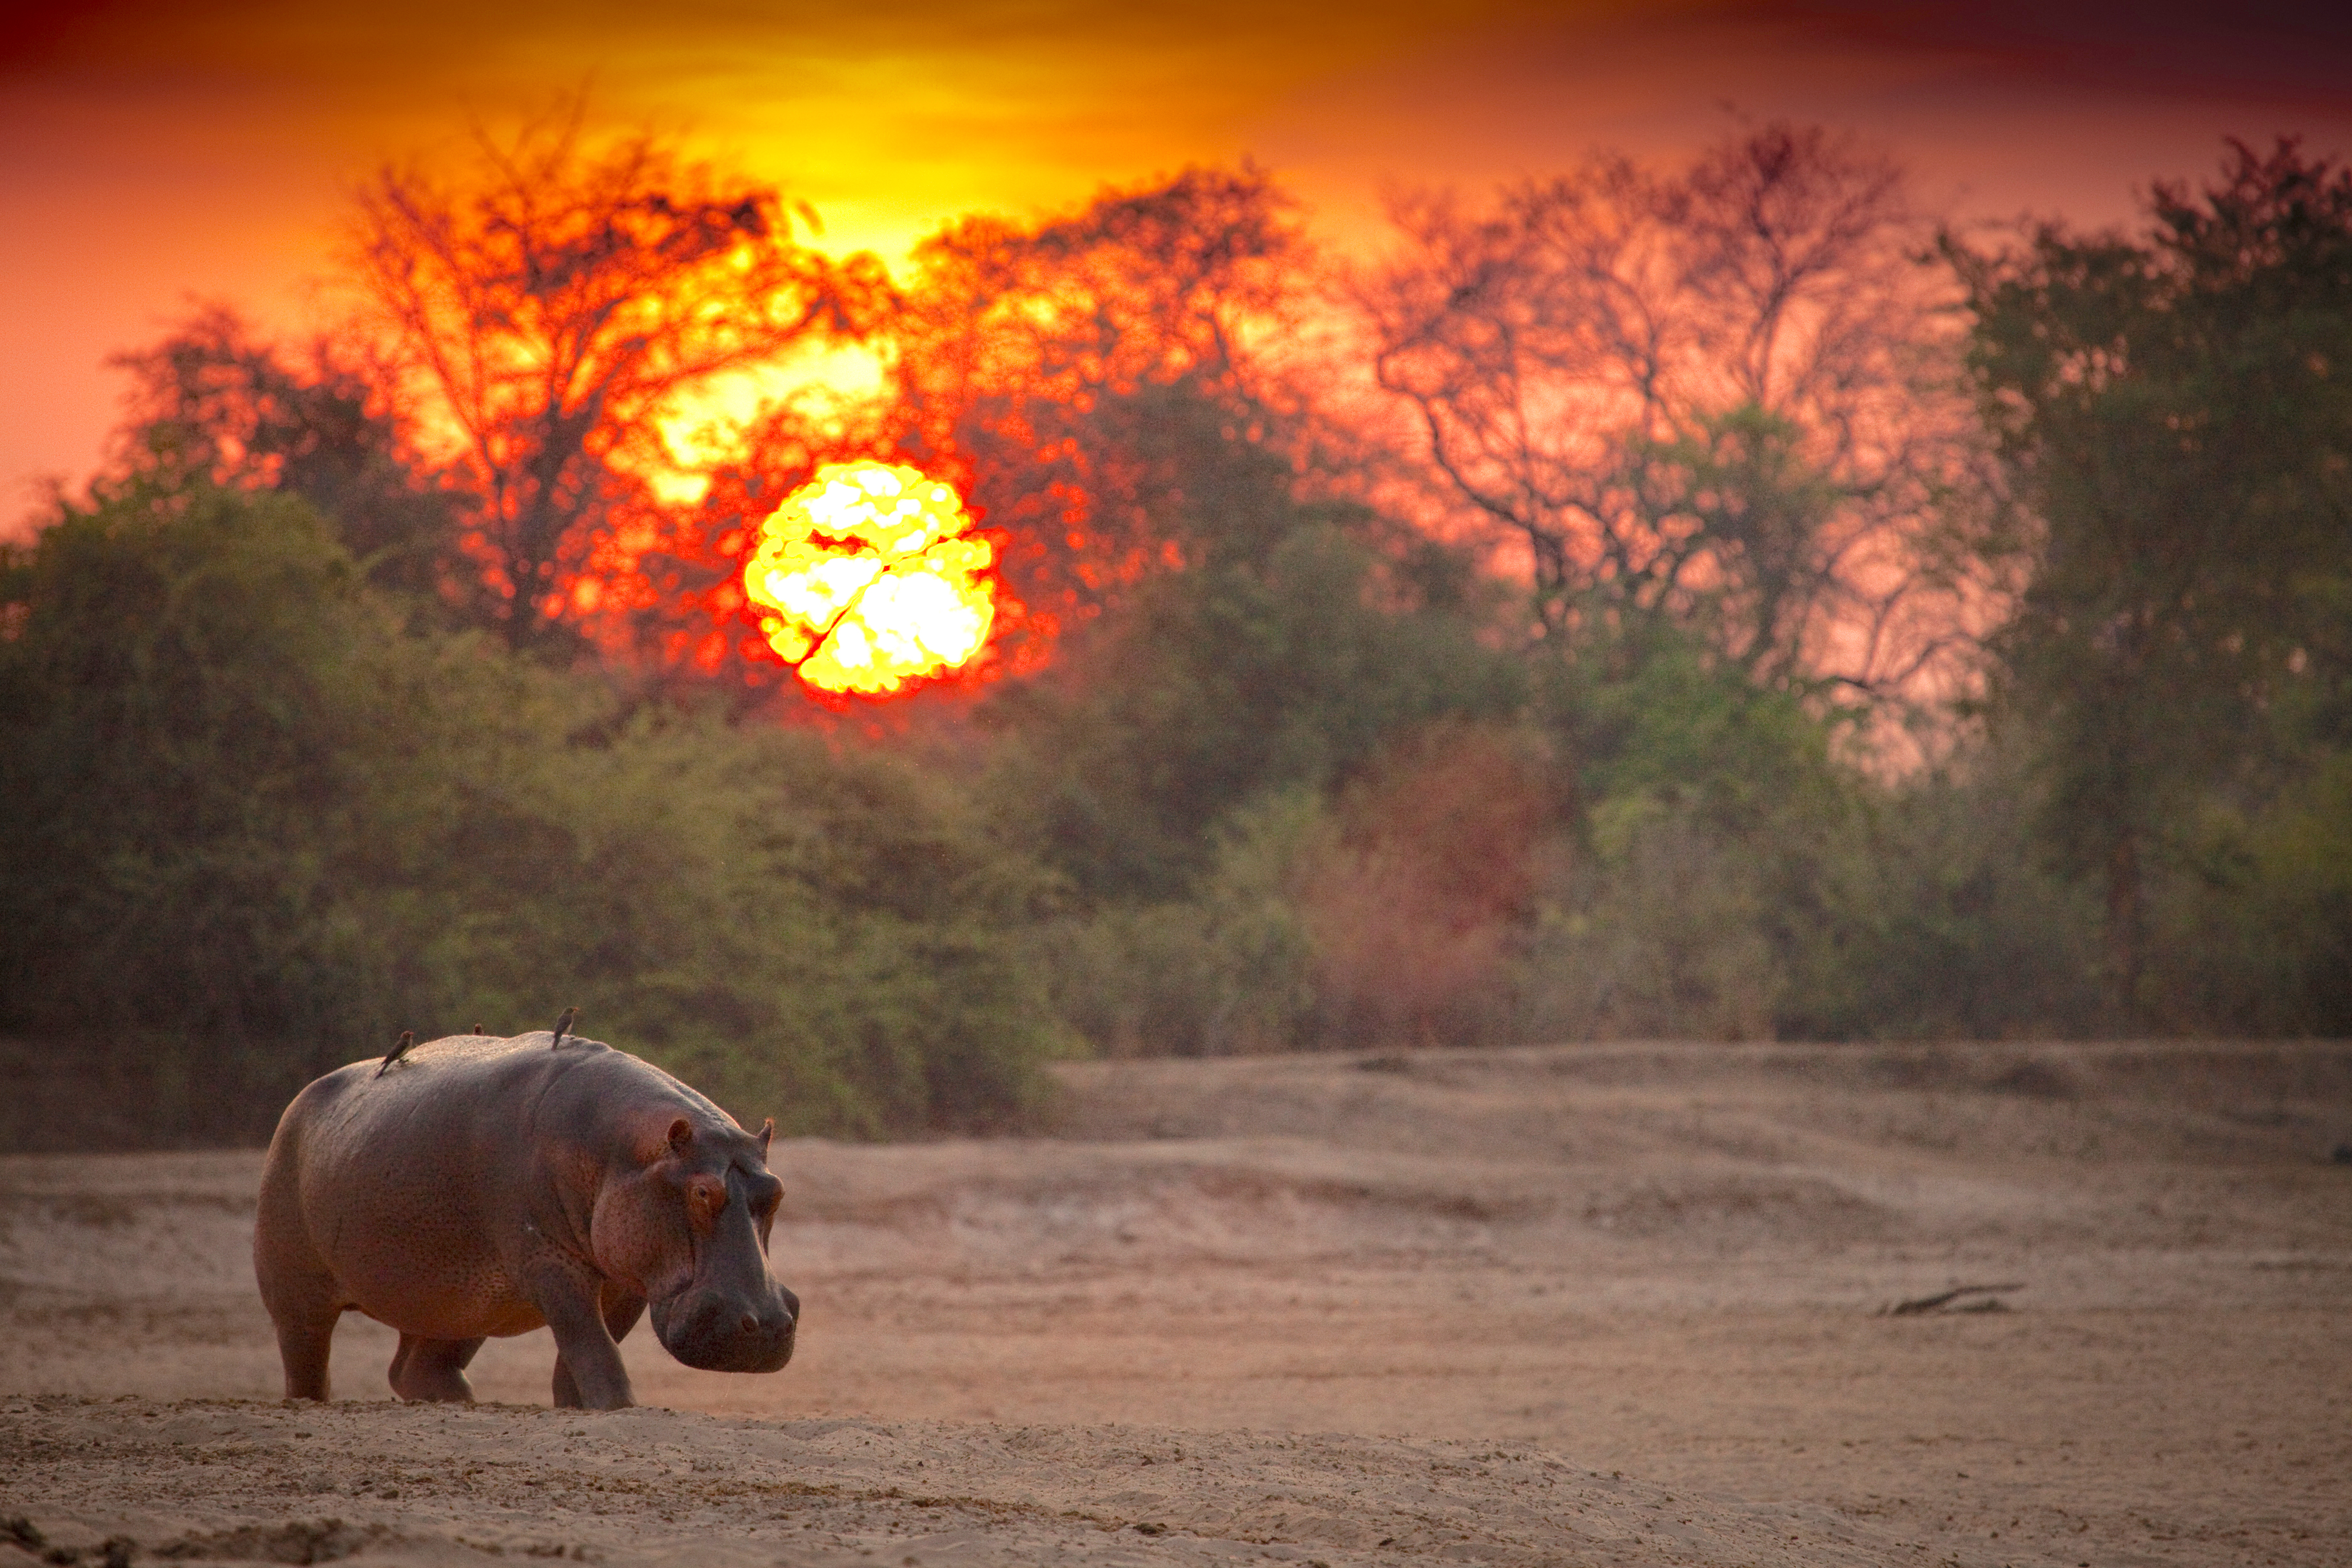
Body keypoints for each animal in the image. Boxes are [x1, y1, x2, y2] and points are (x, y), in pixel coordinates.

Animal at [253, 1028, 797, 1410]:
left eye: (777, 1191)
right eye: (702, 1191)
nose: (769, 1324)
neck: (625, 1150)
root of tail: (302, 1099)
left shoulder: (629, 1280)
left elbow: (585, 1354)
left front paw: (581, 1407)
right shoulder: (548, 1262)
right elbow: (590, 1342)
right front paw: (618, 1405)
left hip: (461, 1301)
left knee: (416, 1367)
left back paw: (463, 1403)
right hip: (296, 1288)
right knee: (306, 1360)